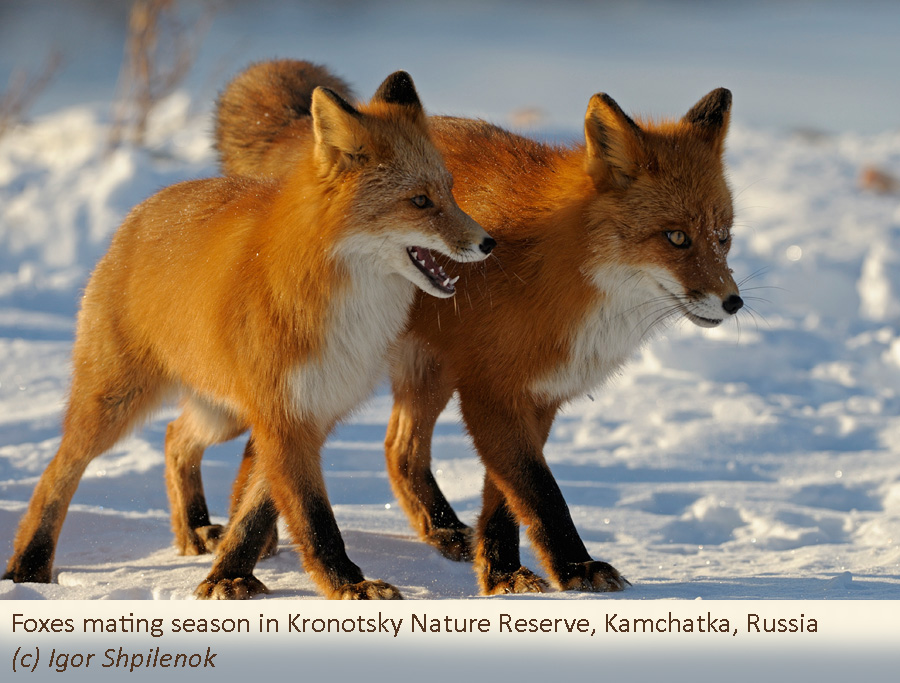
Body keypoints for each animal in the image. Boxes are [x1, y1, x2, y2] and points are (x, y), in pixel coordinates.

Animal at [1, 70, 495, 600]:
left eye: (450, 191)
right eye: (420, 202)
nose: (489, 243)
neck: (340, 301)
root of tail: (141, 210)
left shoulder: (306, 412)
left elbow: (256, 513)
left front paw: (229, 576)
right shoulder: (283, 417)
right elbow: (316, 520)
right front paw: (349, 586)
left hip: (224, 412)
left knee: (175, 438)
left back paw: (194, 530)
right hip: (116, 403)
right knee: (58, 471)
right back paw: (29, 565)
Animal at [181, 59, 744, 595]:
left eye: (723, 238)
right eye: (675, 238)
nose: (733, 302)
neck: (560, 268)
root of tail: (303, 136)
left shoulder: (535, 397)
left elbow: (506, 501)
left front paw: (502, 575)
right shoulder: (491, 393)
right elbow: (543, 495)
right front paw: (574, 568)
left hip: (425, 370)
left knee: (397, 450)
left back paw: (441, 530)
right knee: (272, 448)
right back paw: (246, 548)